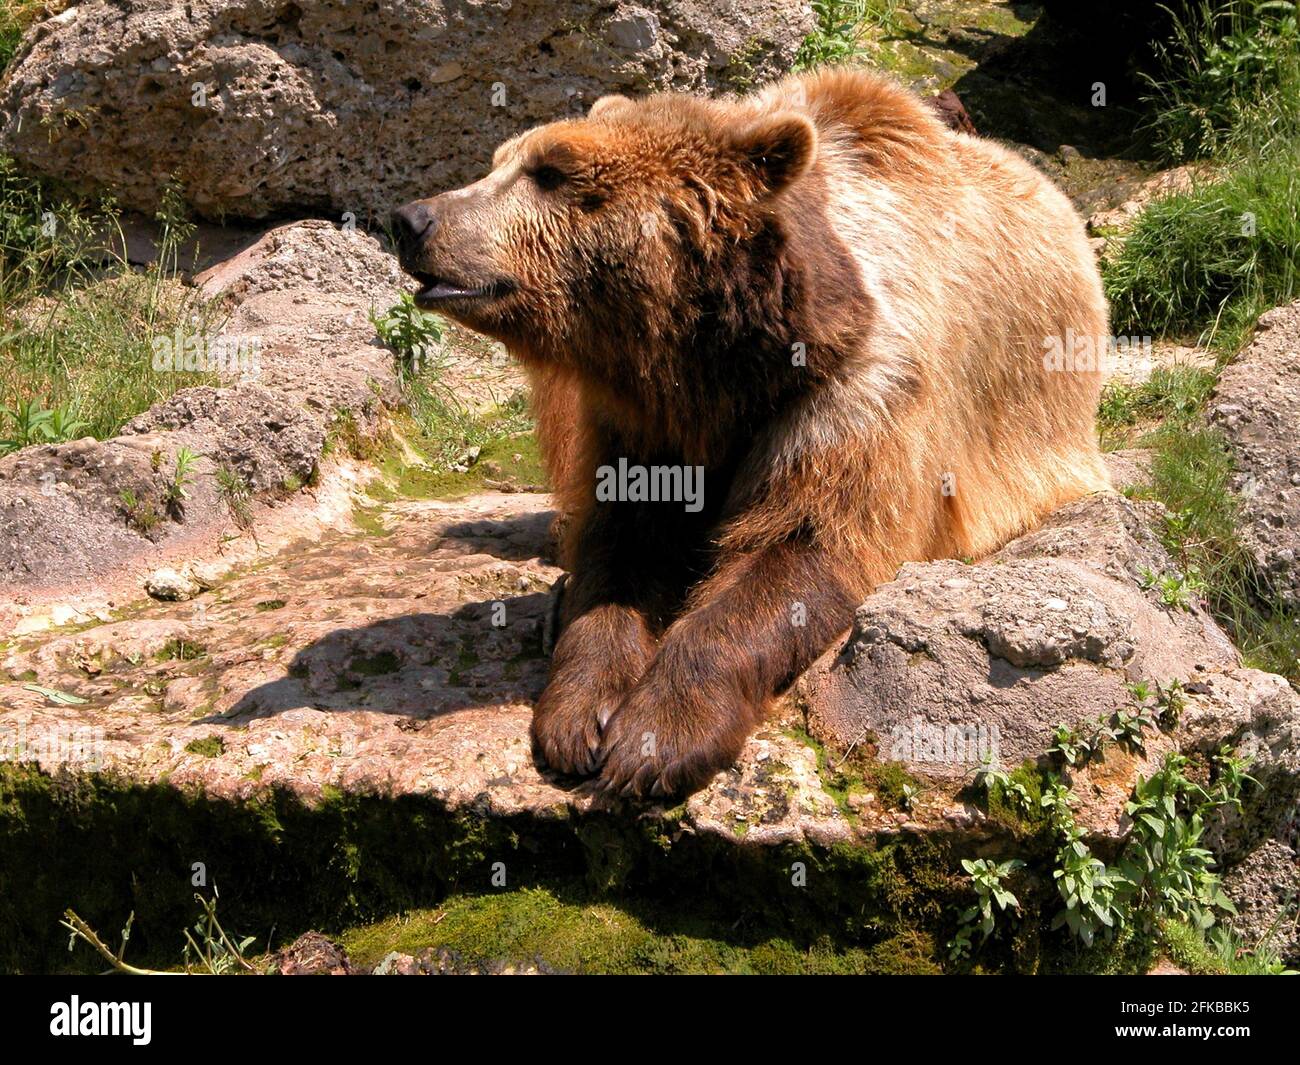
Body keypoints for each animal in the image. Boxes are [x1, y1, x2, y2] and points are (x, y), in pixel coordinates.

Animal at [392, 67, 1110, 799]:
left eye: (549, 171)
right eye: (499, 161)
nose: (412, 218)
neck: (713, 362)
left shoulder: (853, 388)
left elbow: (798, 544)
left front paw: (657, 736)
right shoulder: (638, 420)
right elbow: (621, 542)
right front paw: (578, 711)